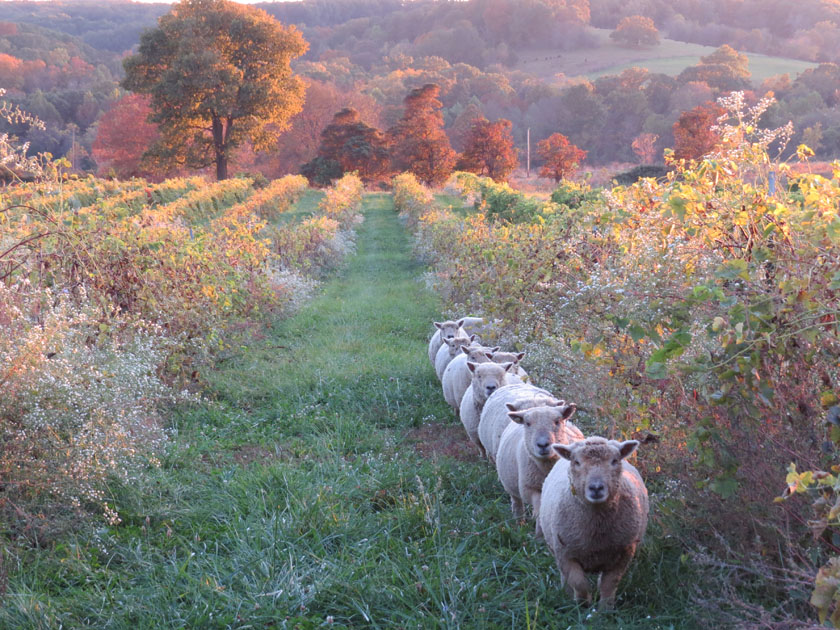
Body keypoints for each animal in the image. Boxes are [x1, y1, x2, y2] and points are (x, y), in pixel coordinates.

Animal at [496, 401, 583, 538]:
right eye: (528, 423)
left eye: (557, 421)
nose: (542, 444)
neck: (547, 467)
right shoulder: (529, 488)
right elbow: (539, 507)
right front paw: (539, 535)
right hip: (510, 486)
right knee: (517, 503)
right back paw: (519, 524)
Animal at [538, 437, 649, 610]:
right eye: (577, 462)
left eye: (614, 461)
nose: (596, 488)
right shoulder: (566, 554)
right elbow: (579, 583)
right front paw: (582, 606)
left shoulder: (624, 553)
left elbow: (609, 584)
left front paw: (605, 609)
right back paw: (565, 594)